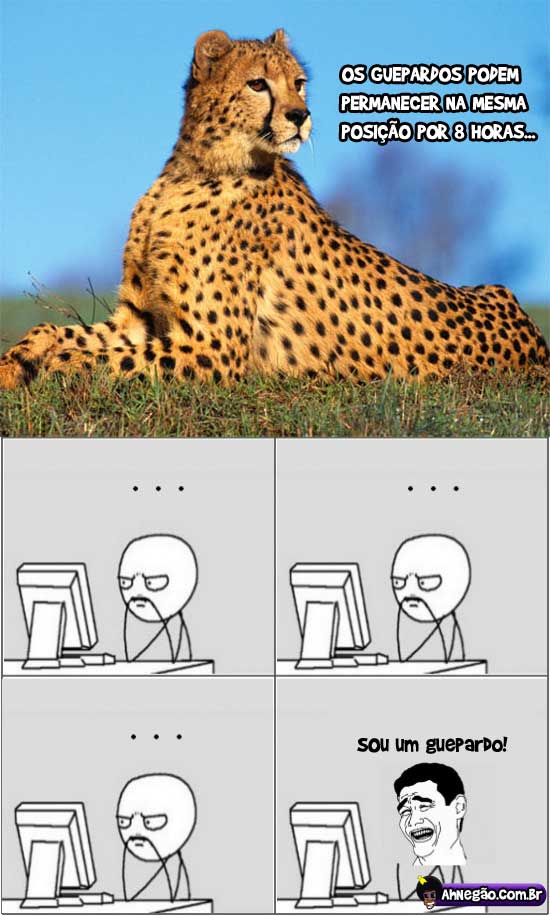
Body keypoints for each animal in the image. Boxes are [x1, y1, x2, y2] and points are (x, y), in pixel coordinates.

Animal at [1, 27, 548, 390]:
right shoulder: (138, 319)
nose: (300, 116)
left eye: (299, 83)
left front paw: (48, 368)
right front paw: (14, 364)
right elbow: (54, 330)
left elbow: (93, 357)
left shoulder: (213, 348)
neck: (197, 169)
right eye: (258, 84)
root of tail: (536, 345)